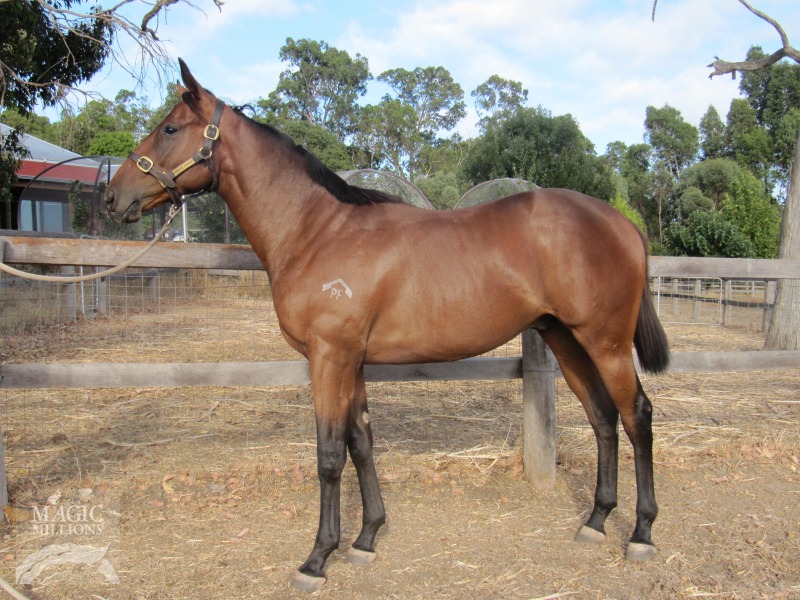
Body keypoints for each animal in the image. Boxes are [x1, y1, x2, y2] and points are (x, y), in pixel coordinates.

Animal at [105, 59, 670, 591]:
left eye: (170, 128)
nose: (113, 197)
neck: (317, 232)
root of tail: (622, 223)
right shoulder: (350, 360)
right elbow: (361, 442)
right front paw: (366, 538)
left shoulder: (329, 358)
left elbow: (329, 455)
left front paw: (317, 559)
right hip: (565, 338)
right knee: (602, 417)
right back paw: (595, 521)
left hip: (606, 343)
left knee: (636, 415)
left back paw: (641, 533)